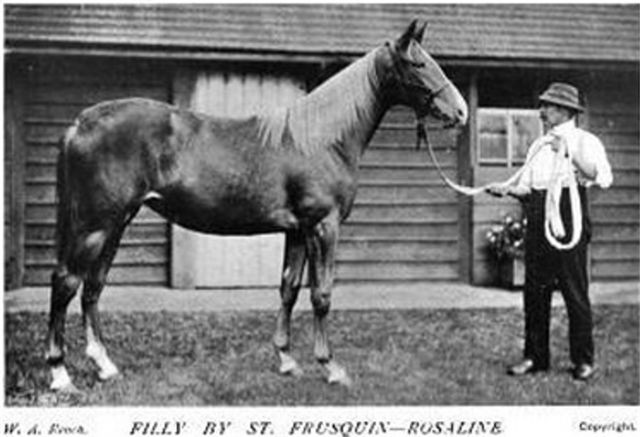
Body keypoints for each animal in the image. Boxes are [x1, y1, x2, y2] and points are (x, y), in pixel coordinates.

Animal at [46, 19, 468, 391]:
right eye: (418, 64)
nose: (461, 111)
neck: (322, 140)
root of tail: (80, 123)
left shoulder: (297, 231)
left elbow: (288, 289)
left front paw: (287, 360)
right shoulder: (323, 226)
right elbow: (322, 295)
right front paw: (331, 367)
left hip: (116, 223)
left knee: (93, 287)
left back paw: (105, 365)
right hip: (95, 226)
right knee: (66, 282)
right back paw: (60, 374)